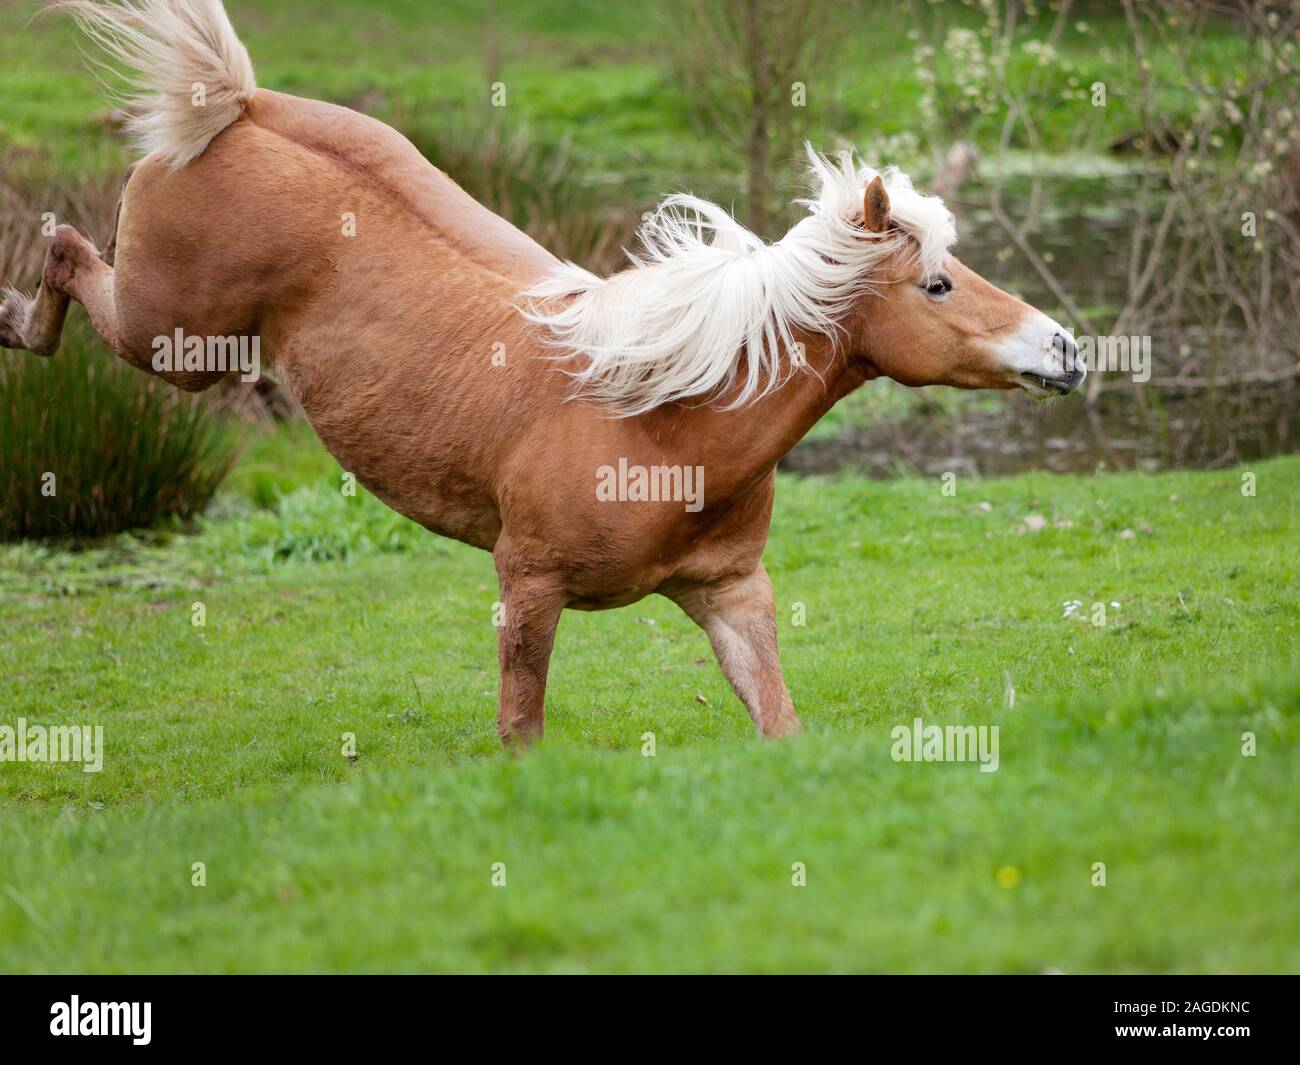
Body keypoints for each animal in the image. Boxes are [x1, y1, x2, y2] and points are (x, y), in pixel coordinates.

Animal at [0, 0, 1085, 746]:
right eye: (939, 283)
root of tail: (241, 108)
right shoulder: (525, 586)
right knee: (63, 250)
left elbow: (778, 721)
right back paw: (15, 322)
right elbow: (520, 730)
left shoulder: (731, 595)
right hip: (171, 341)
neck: (658, 420)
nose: (1068, 351)